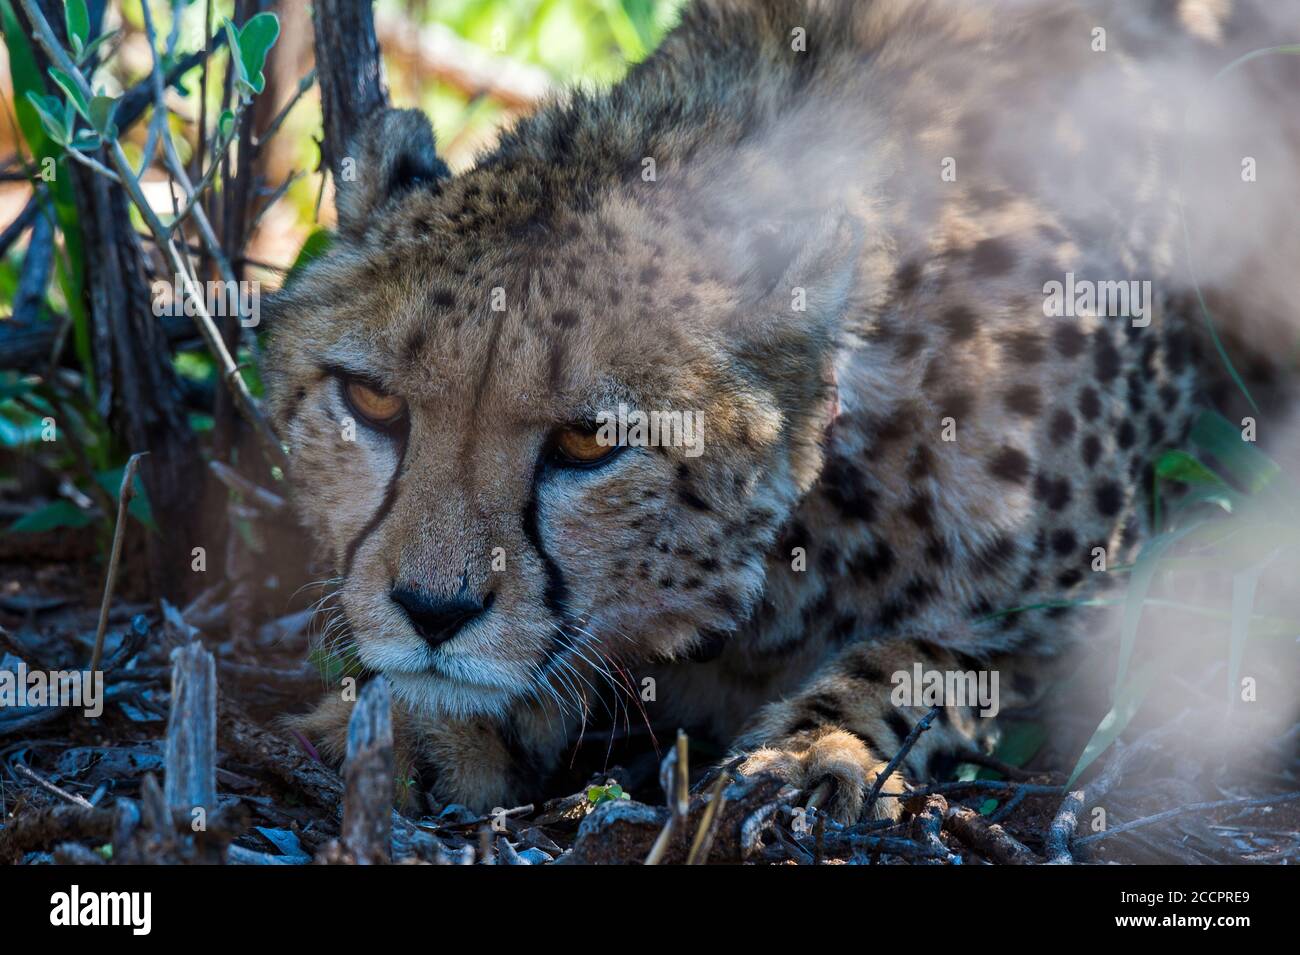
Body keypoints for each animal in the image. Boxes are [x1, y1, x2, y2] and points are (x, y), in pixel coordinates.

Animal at [264, 0, 1298, 825]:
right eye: (372, 400)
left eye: (588, 440)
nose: (432, 613)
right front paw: (420, 720)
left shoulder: (1108, 605)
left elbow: (926, 659)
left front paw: (813, 751)